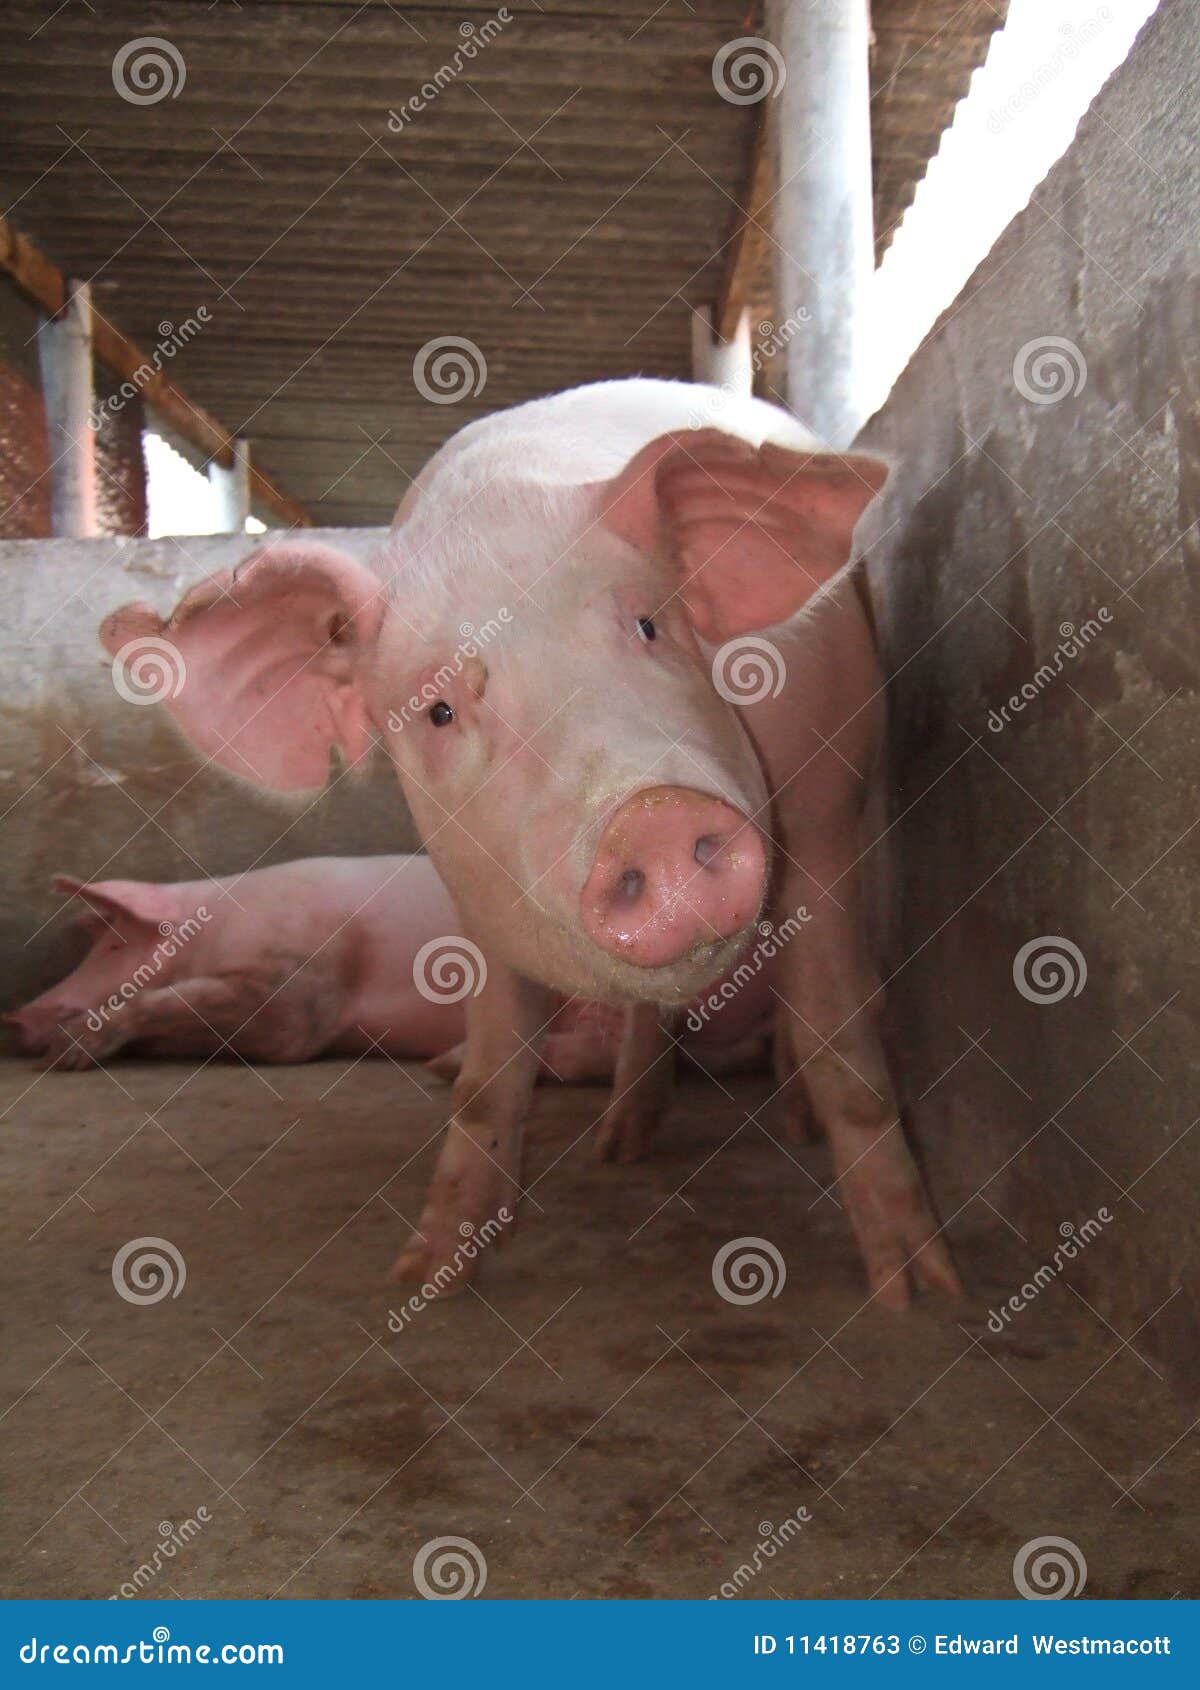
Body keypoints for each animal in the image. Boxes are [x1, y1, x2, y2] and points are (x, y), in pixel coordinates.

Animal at [100, 378, 960, 1308]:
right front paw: (425, 1277)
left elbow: (844, 1041)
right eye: (440, 710)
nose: (649, 816)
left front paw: (918, 1292)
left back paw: (788, 1126)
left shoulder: (822, 811)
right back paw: (620, 1145)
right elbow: (486, 1081)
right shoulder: (474, 896)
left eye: (651, 625)